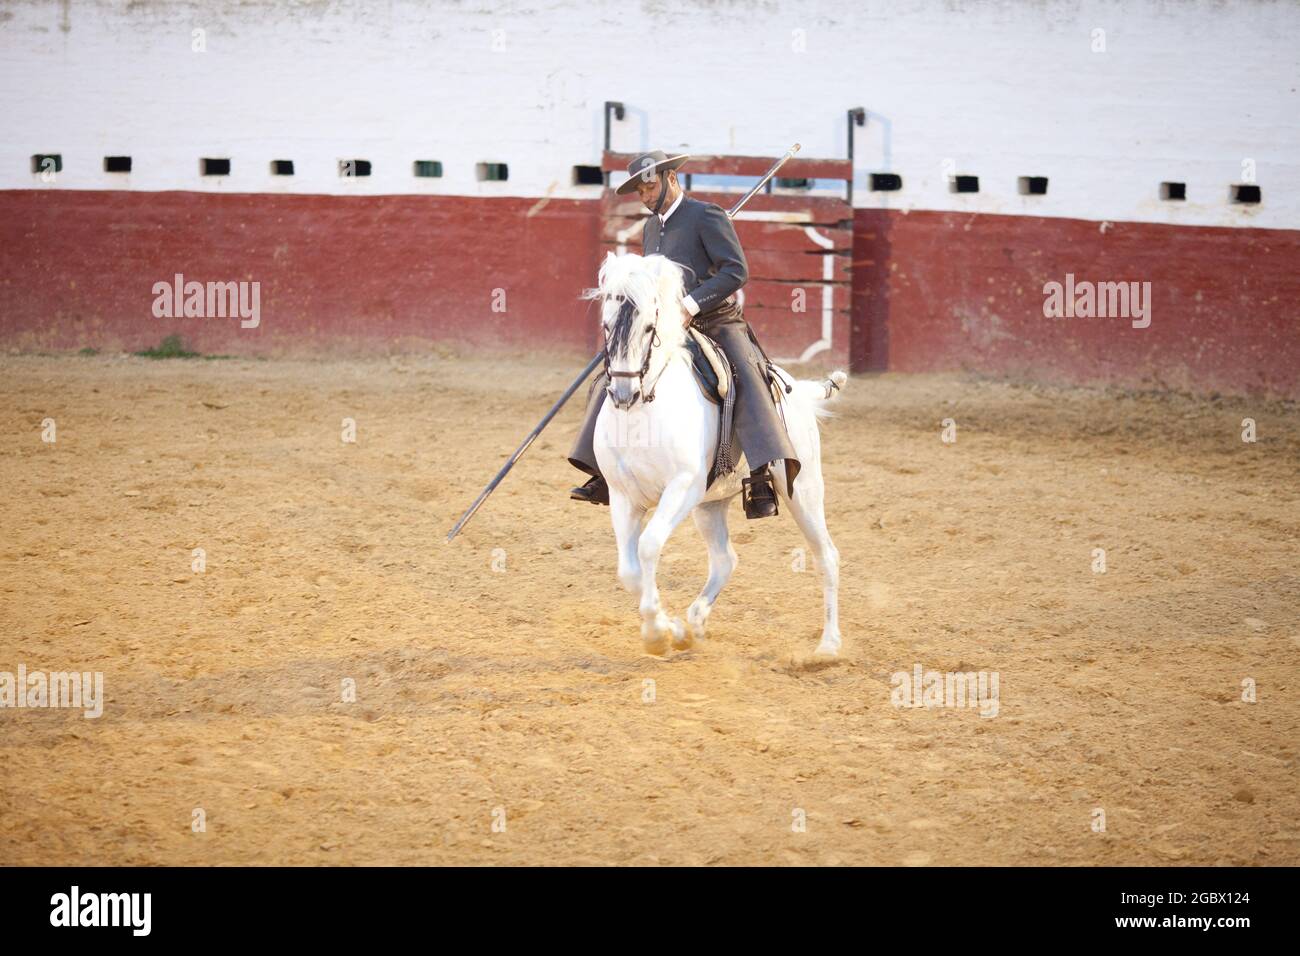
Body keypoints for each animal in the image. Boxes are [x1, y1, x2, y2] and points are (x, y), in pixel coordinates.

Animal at [585, 251, 847, 659]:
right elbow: (629, 571)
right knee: (725, 560)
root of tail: (798, 391)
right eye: (607, 325)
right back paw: (693, 624)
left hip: (802, 490)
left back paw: (828, 646)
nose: (624, 394)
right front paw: (670, 628)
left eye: (648, 328)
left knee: (826, 556)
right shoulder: (623, 496)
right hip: (710, 506)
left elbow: (649, 546)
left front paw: (658, 633)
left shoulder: (682, 487)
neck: (644, 413)